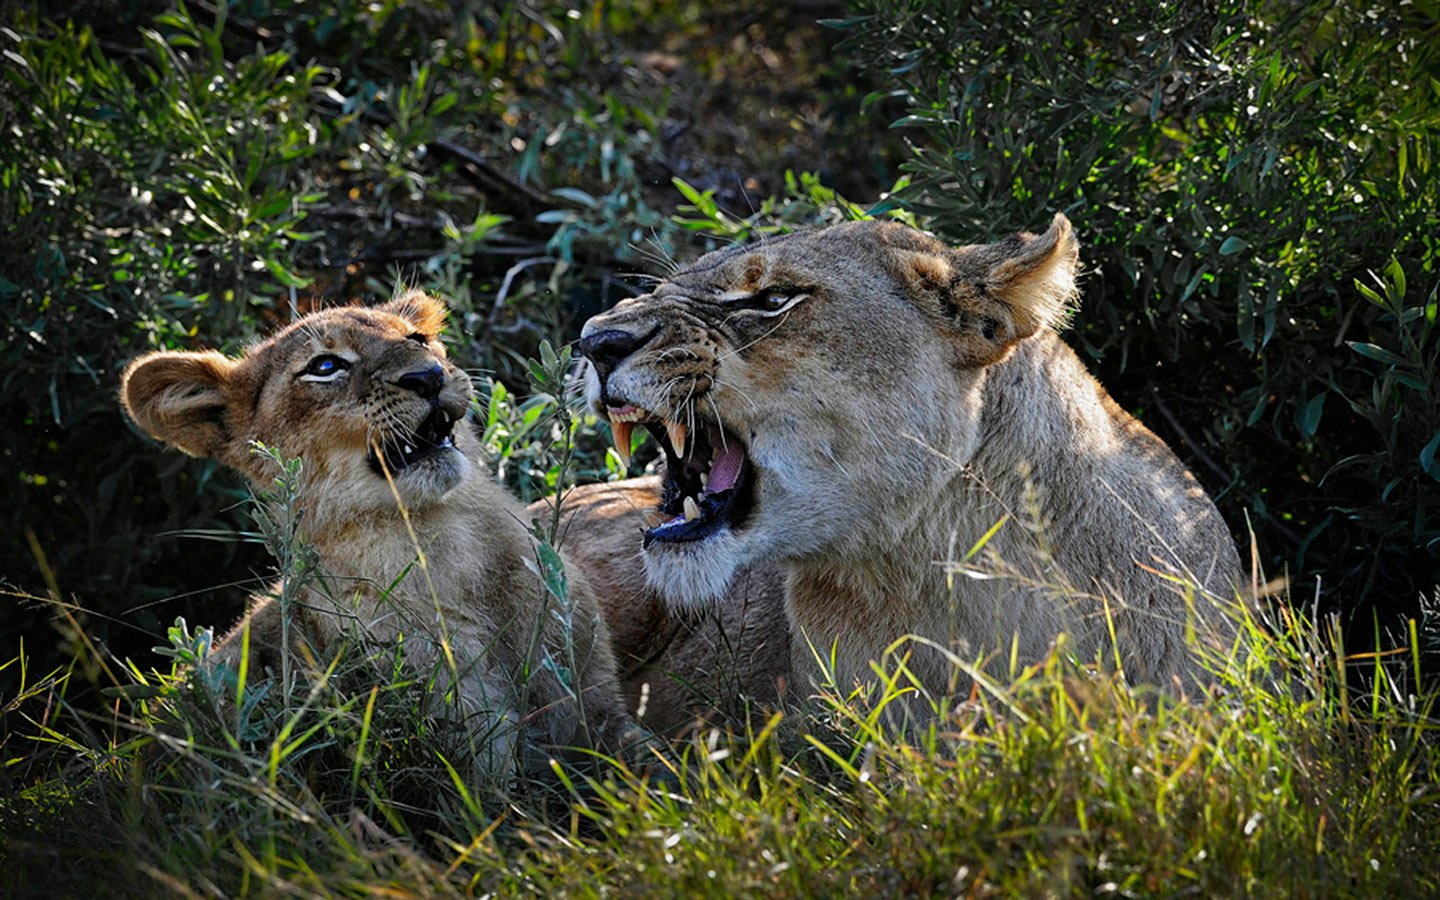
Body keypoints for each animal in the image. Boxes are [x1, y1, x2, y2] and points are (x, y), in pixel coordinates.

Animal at [122, 292, 630, 777]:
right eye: (325, 366)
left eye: (418, 339)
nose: (428, 376)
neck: (443, 542)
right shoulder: (466, 735)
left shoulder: (597, 701)